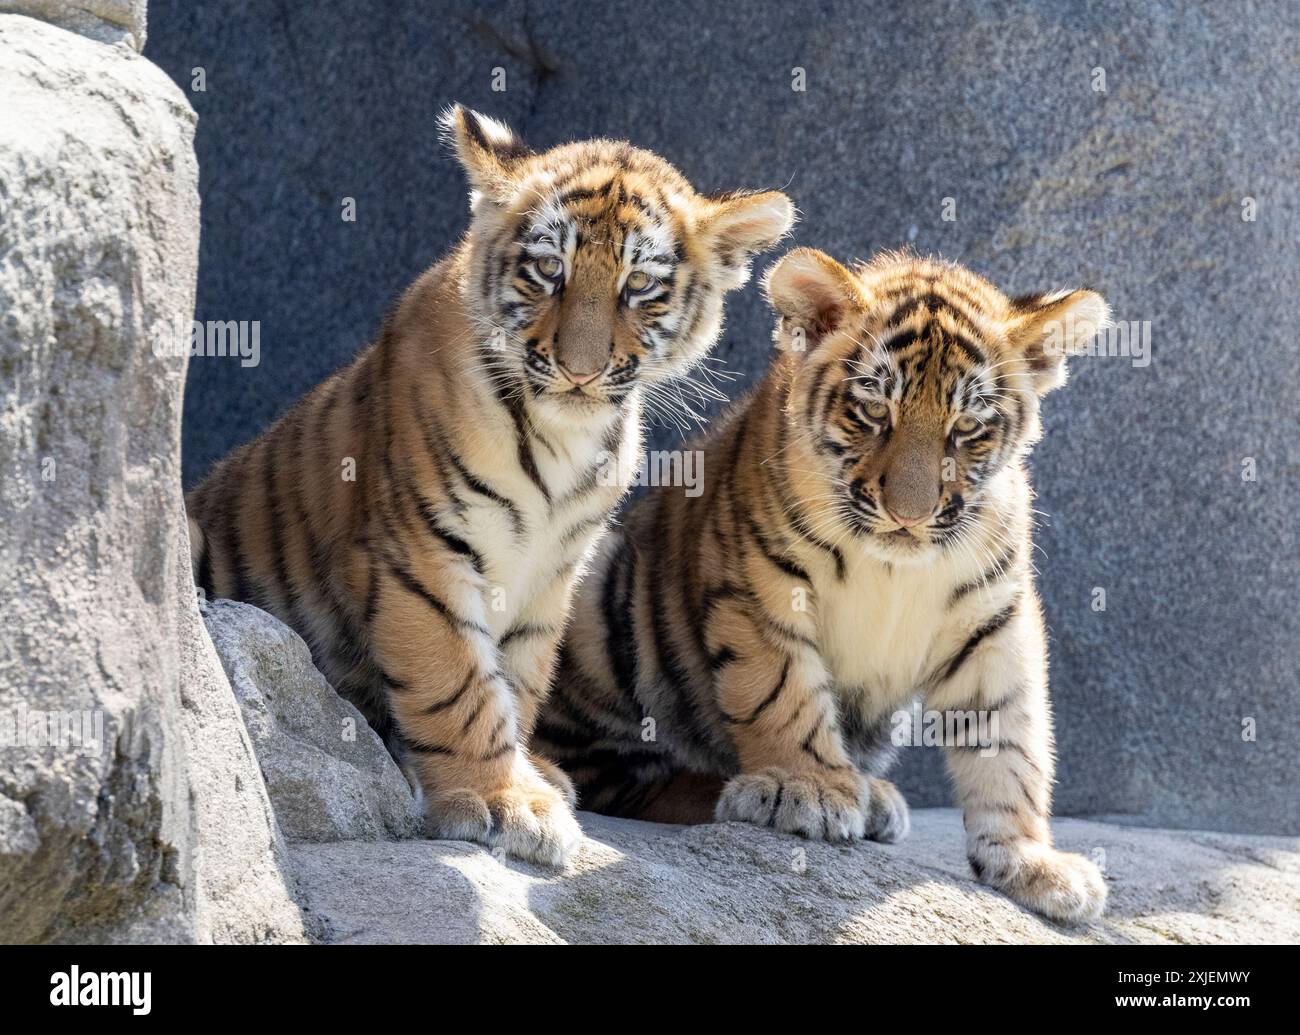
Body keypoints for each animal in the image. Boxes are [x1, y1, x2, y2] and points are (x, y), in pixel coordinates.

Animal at [184, 105, 794, 865]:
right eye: (548, 269)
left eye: (639, 287)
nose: (580, 371)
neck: (563, 440)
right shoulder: (424, 553)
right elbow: (457, 682)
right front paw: (501, 801)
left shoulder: (552, 569)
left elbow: (517, 677)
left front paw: (530, 776)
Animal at [536, 247, 1112, 922]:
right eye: (874, 411)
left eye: (967, 427)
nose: (909, 515)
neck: (893, 565)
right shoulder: (760, 585)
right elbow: (781, 691)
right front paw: (804, 788)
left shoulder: (993, 620)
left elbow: (1011, 741)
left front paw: (1031, 860)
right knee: (613, 777)